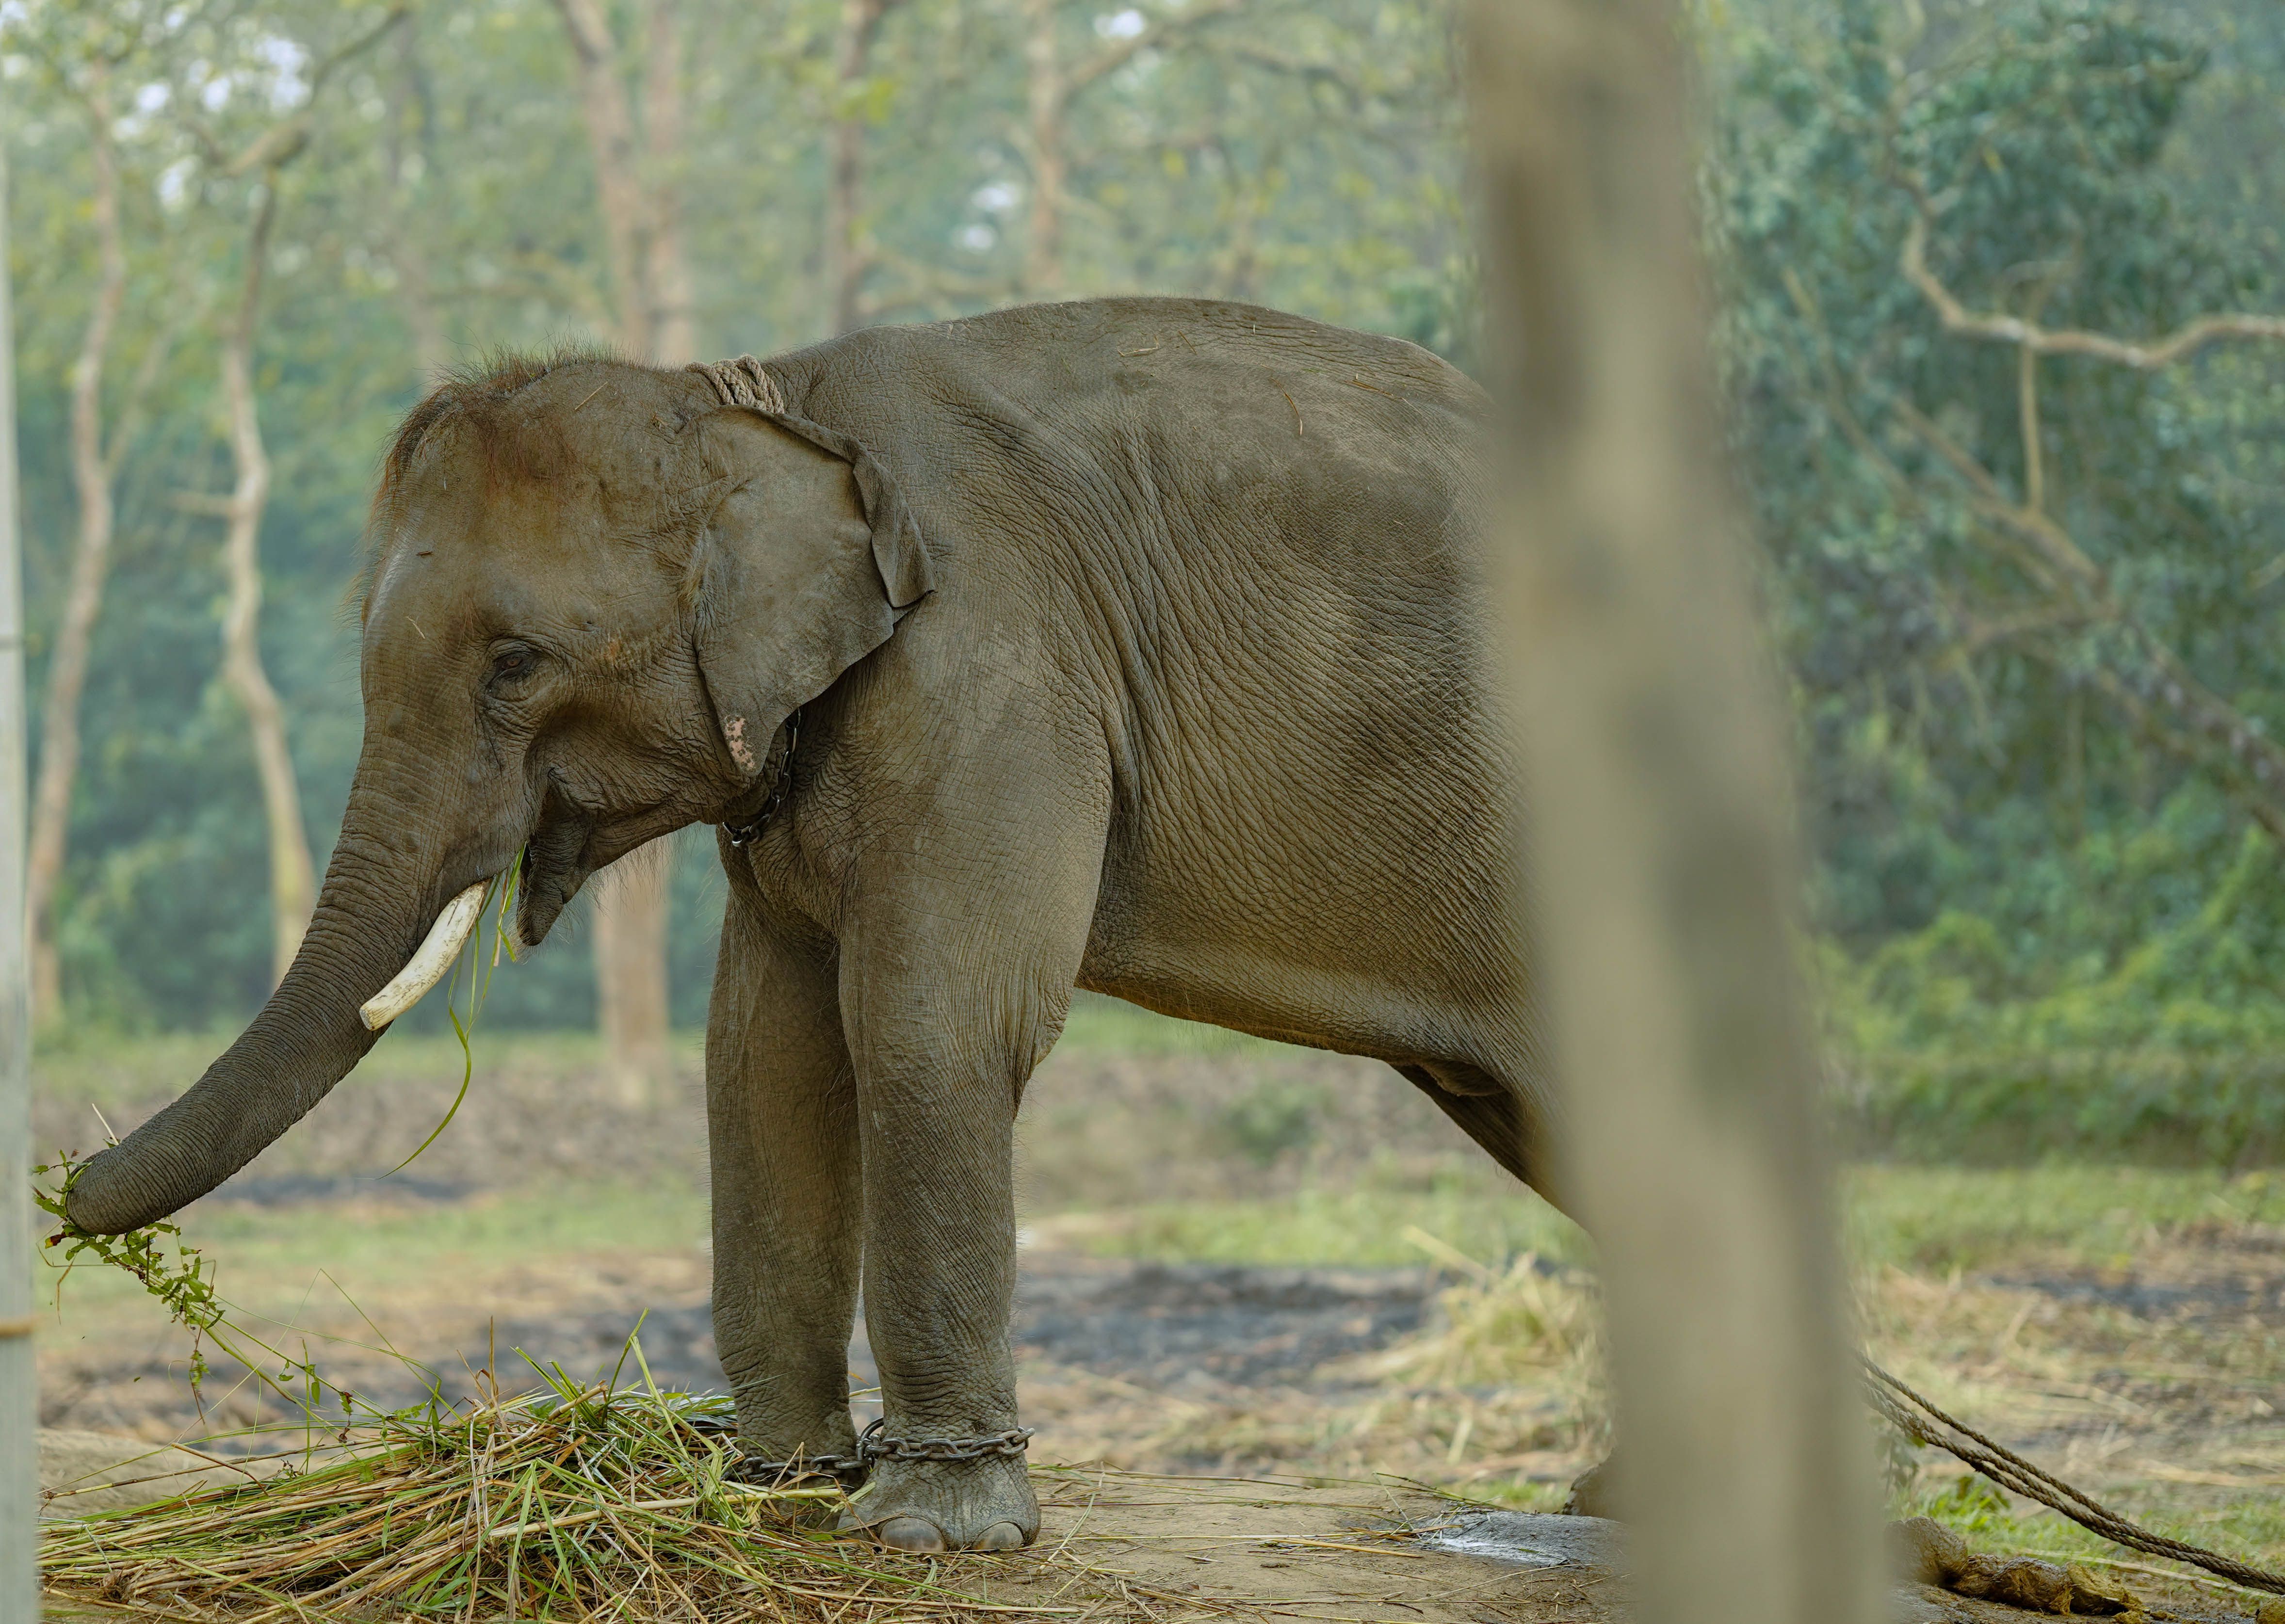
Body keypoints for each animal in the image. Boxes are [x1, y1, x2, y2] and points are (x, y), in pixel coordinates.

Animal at [66, 296, 1550, 1553]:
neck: (760, 399)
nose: (62, 1197)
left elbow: (932, 1029)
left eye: (515, 664)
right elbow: (763, 1056)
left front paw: (931, 1534)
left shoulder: (992, 662)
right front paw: (772, 1485)